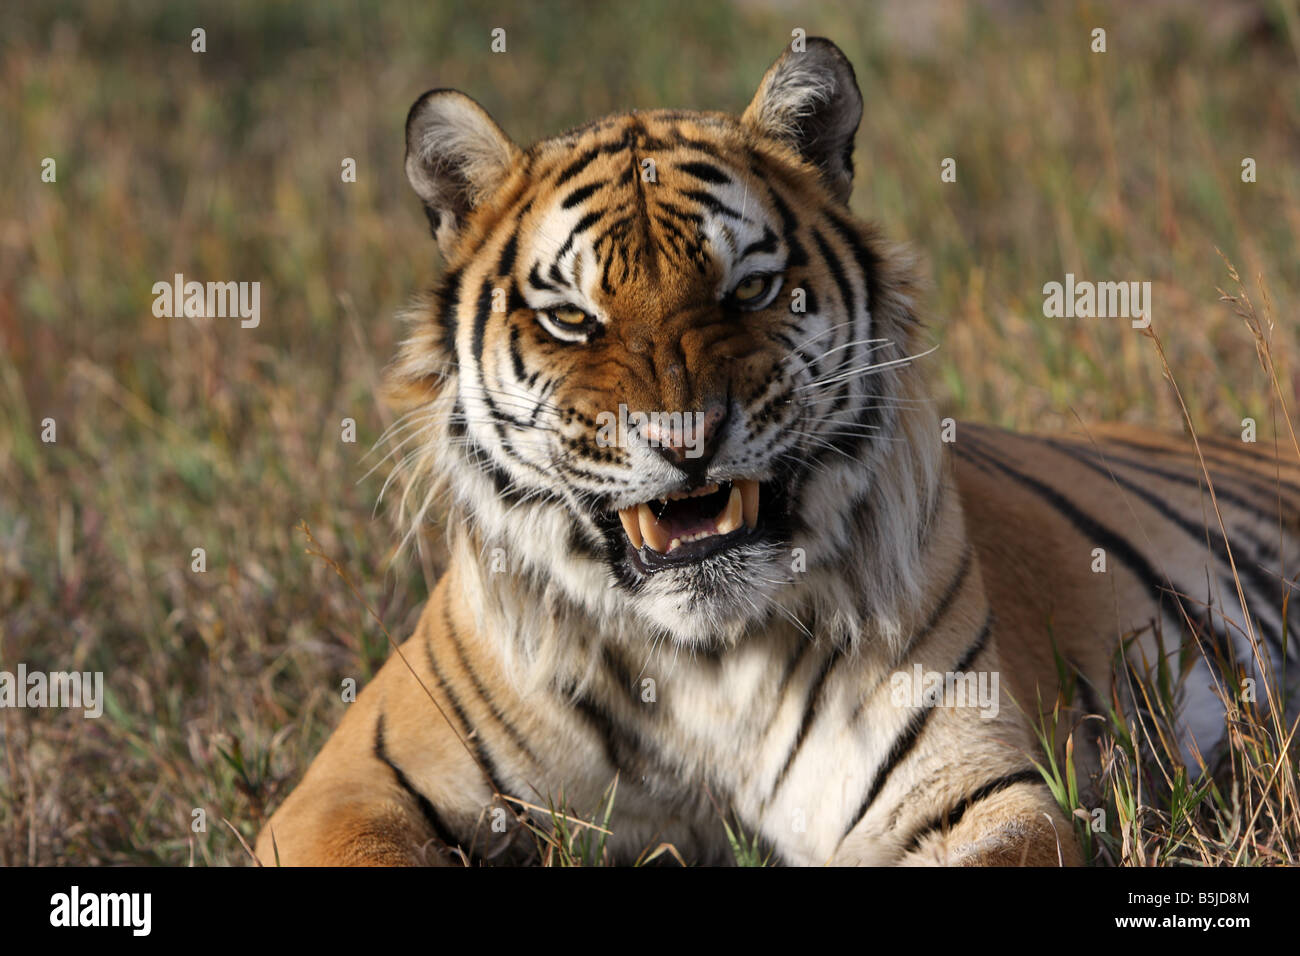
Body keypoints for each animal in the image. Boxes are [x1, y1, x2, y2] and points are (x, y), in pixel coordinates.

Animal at [254, 37, 1300, 866]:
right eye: (572, 319)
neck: (698, 665)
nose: (684, 441)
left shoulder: (968, 792)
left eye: (749, 289)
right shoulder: (348, 788)